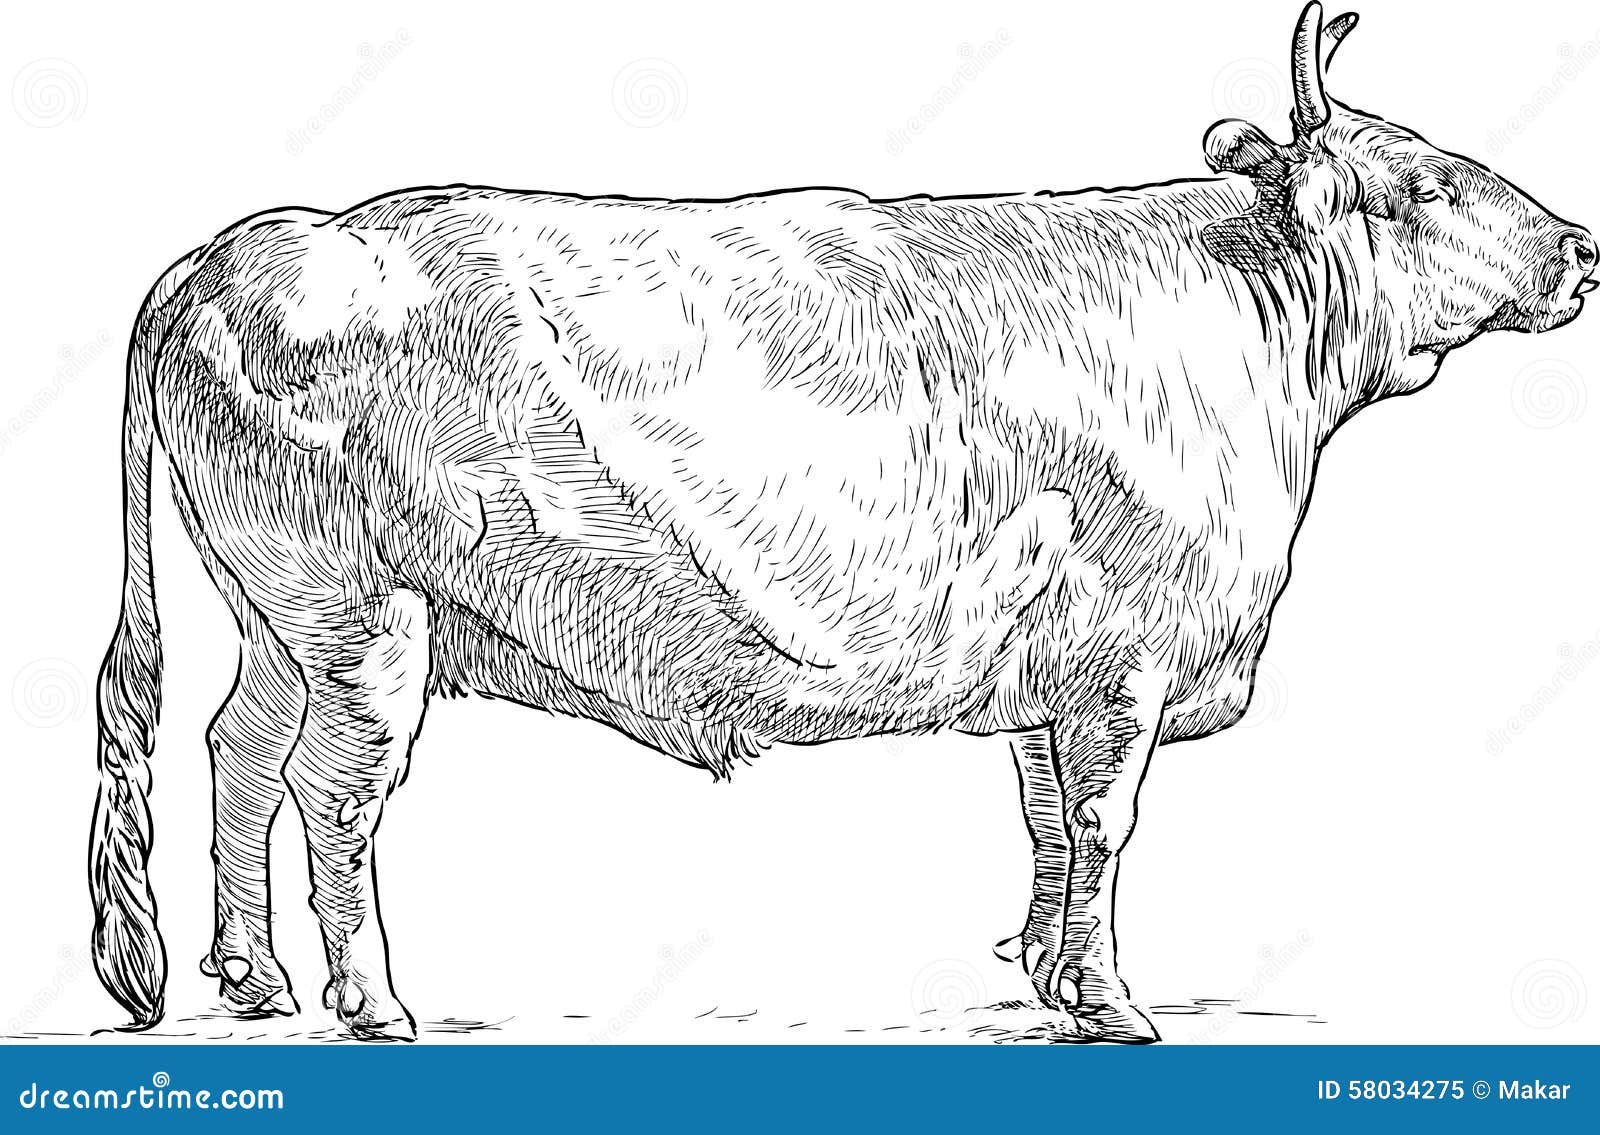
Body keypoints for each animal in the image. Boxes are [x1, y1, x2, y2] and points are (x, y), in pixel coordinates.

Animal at [91, 3, 1593, 1042]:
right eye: (1417, 186)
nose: (1582, 246)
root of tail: (235, 248)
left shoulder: (1042, 668)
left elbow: (1045, 821)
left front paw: (1044, 975)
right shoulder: (1126, 656)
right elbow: (1103, 821)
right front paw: (1110, 1001)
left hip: (276, 614)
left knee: (237, 750)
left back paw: (252, 976)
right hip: (363, 616)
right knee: (333, 793)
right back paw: (369, 1002)